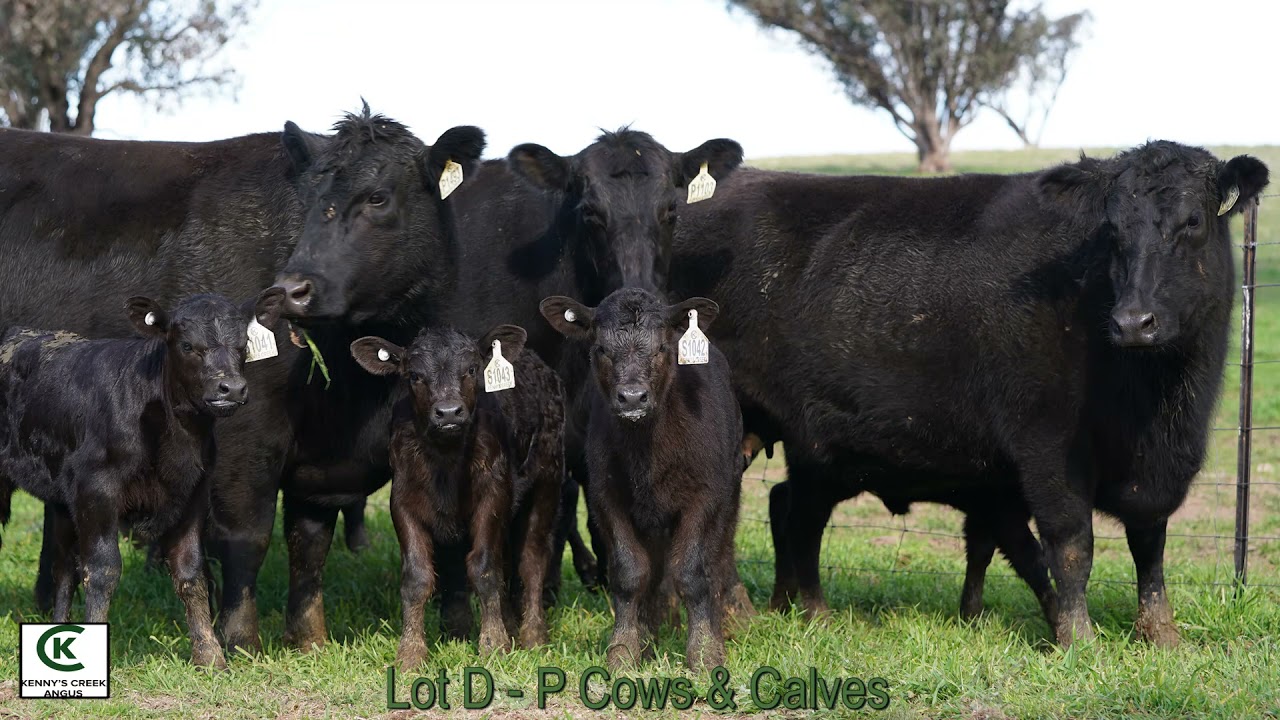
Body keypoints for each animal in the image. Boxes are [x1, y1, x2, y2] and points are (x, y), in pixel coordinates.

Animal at [0, 289, 284, 668]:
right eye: (187, 345)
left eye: (243, 345)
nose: (232, 388)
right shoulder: (97, 491)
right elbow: (103, 570)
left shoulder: (193, 492)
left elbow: (190, 571)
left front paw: (210, 656)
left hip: (61, 499)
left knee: (62, 567)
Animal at [350, 324, 564, 666]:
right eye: (414, 375)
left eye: (472, 369)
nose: (448, 412)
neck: (446, 461)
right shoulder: (403, 503)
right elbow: (417, 577)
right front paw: (410, 653)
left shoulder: (492, 496)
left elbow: (483, 568)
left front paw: (493, 644)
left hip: (548, 481)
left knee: (532, 560)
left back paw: (533, 636)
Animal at [541, 288, 743, 670]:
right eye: (601, 348)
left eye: (662, 347)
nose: (632, 397)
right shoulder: (607, 497)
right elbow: (630, 572)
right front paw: (624, 648)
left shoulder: (705, 497)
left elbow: (692, 572)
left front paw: (704, 653)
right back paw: (649, 639)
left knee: (717, 561)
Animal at [670, 142, 1269, 647]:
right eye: (1113, 230)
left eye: (1193, 222)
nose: (1133, 322)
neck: (1156, 403)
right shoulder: (1048, 448)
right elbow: (1070, 547)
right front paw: (1079, 639)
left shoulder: (1154, 467)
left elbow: (1149, 547)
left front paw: (1161, 634)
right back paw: (746, 616)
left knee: (786, 512)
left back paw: (781, 613)